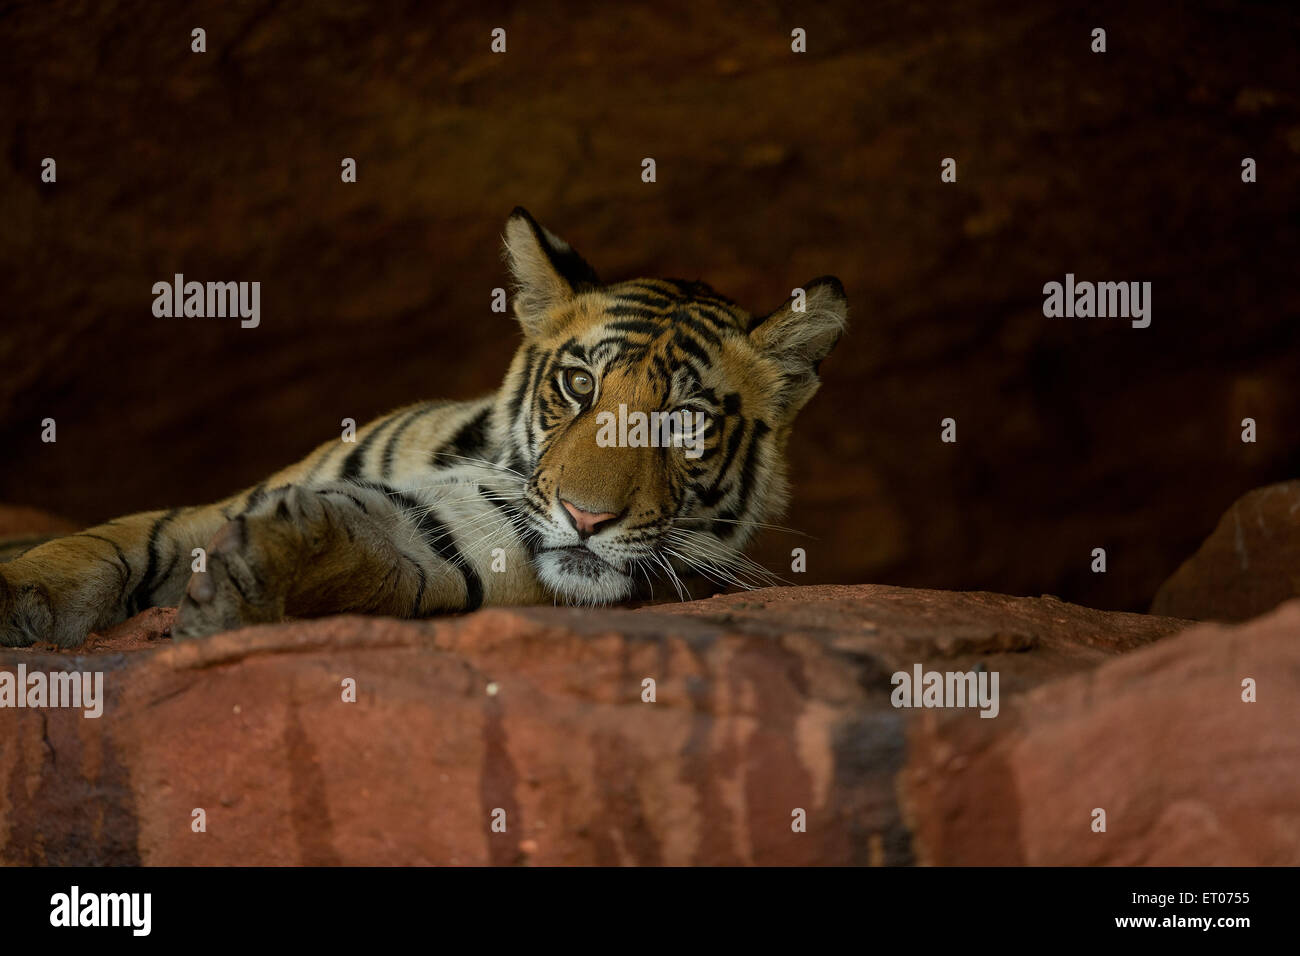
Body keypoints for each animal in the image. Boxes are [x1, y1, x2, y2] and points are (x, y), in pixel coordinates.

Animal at [0, 208, 846, 648]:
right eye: (579, 386)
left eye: (683, 422)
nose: (586, 518)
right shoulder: (224, 501)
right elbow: (110, 543)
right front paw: (24, 594)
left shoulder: (473, 544)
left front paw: (262, 572)